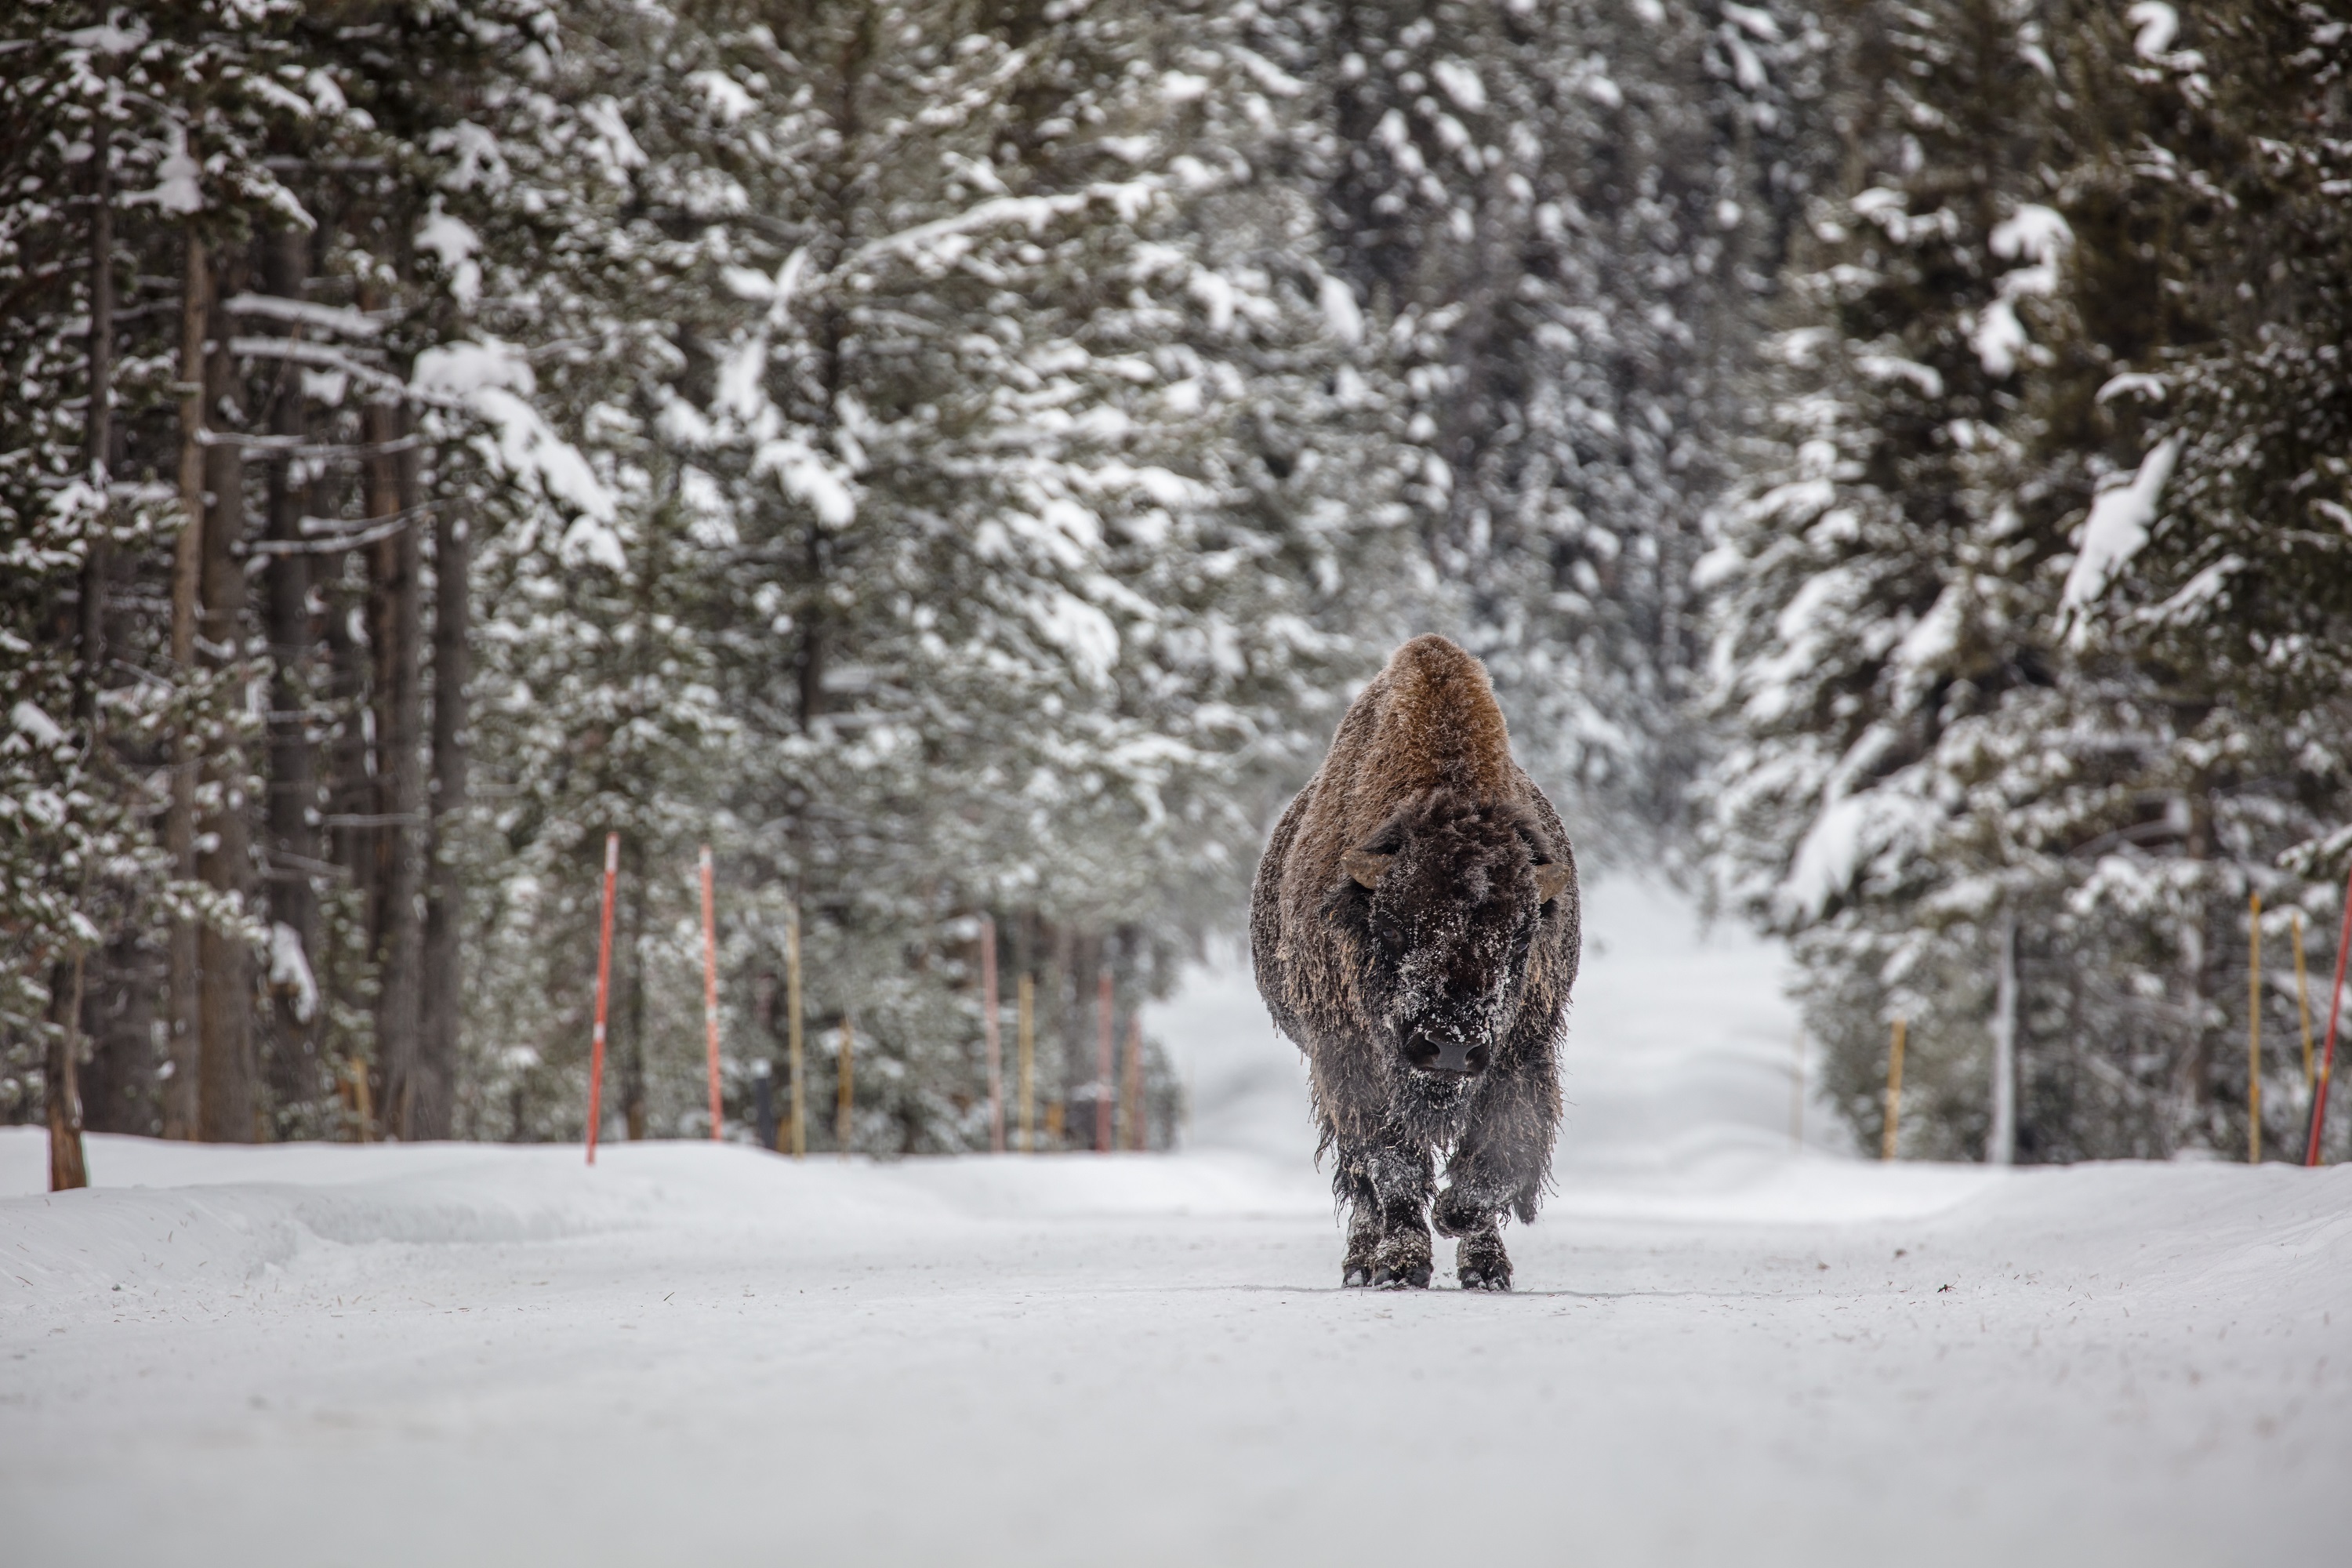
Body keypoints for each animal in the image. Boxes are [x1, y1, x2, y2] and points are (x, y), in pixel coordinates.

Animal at [1250, 635, 1579, 1290]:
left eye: (1522, 937)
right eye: (1395, 927)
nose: (1449, 1046)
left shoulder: (1524, 1050)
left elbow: (1500, 1156)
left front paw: (1463, 1227)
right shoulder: (1349, 1059)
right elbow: (1391, 1166)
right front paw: (1402, 1264)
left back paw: (1482, 1265)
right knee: (1361, 1182)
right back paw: (1363, 1263)